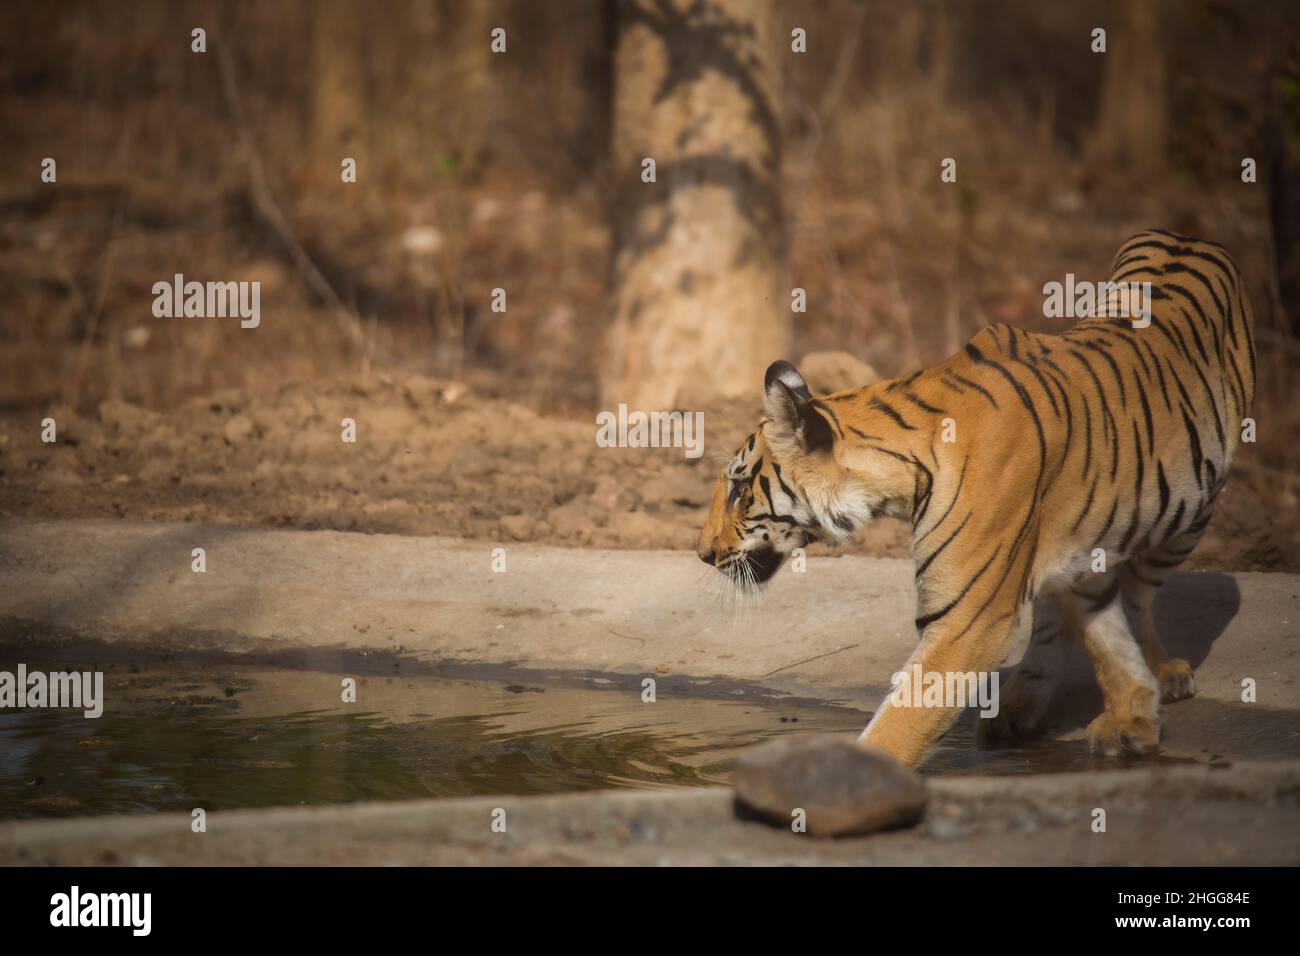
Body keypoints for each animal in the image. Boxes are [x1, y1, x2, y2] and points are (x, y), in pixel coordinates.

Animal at [698, 230, 1256, 767]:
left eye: (740, 487)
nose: (702, 553)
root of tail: (1191, 238)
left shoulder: (966, 620)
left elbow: (897, 727)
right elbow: (1099, 631)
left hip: (1187, 516)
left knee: (1138, 595)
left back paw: (1160, 676)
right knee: (1080, 614)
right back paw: (1076, 712)